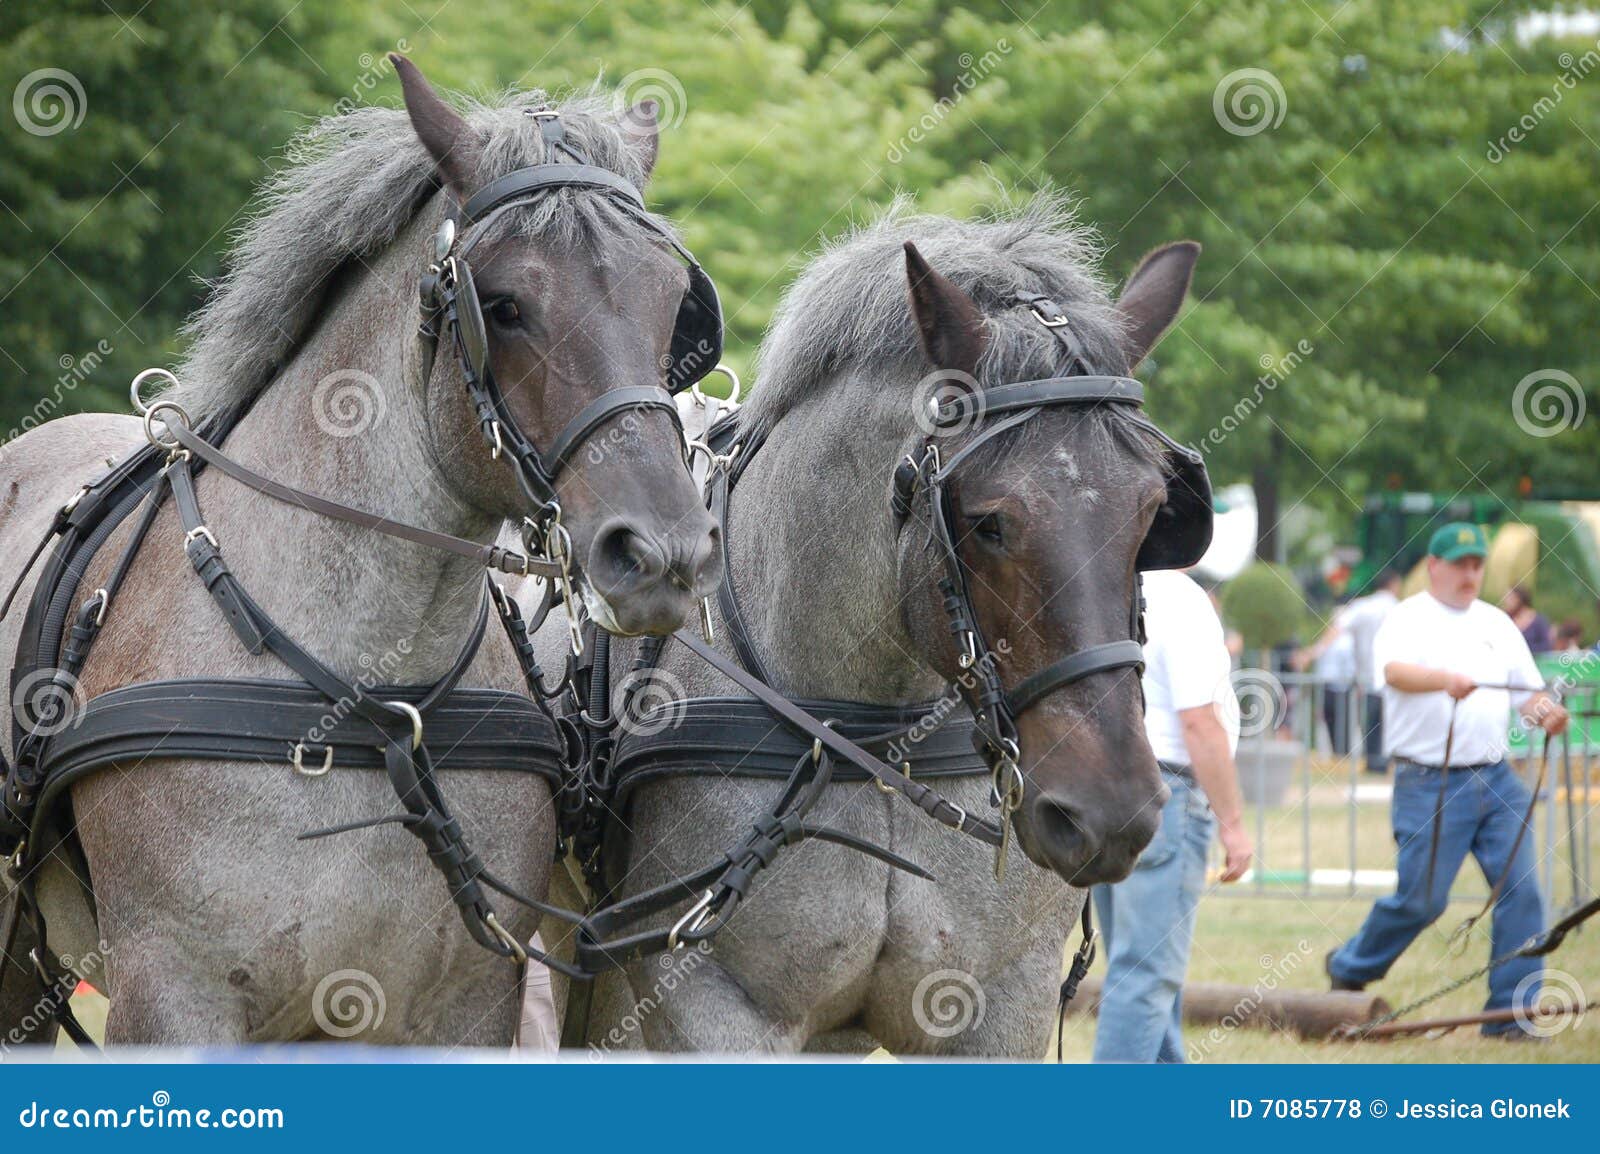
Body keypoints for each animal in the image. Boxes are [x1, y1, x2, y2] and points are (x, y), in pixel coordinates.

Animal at [0, 56, 722, 1047]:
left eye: (673, 306)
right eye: (505, 307)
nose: (663, 555)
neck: (366, 703)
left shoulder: (462, 1007)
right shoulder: (173, 995)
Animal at [532, 196, 1203, 1056]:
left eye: (1154, 511)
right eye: (987, 522)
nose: (1111, 809)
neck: (876, 739)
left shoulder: (1003, 1005)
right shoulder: (708, 1002)